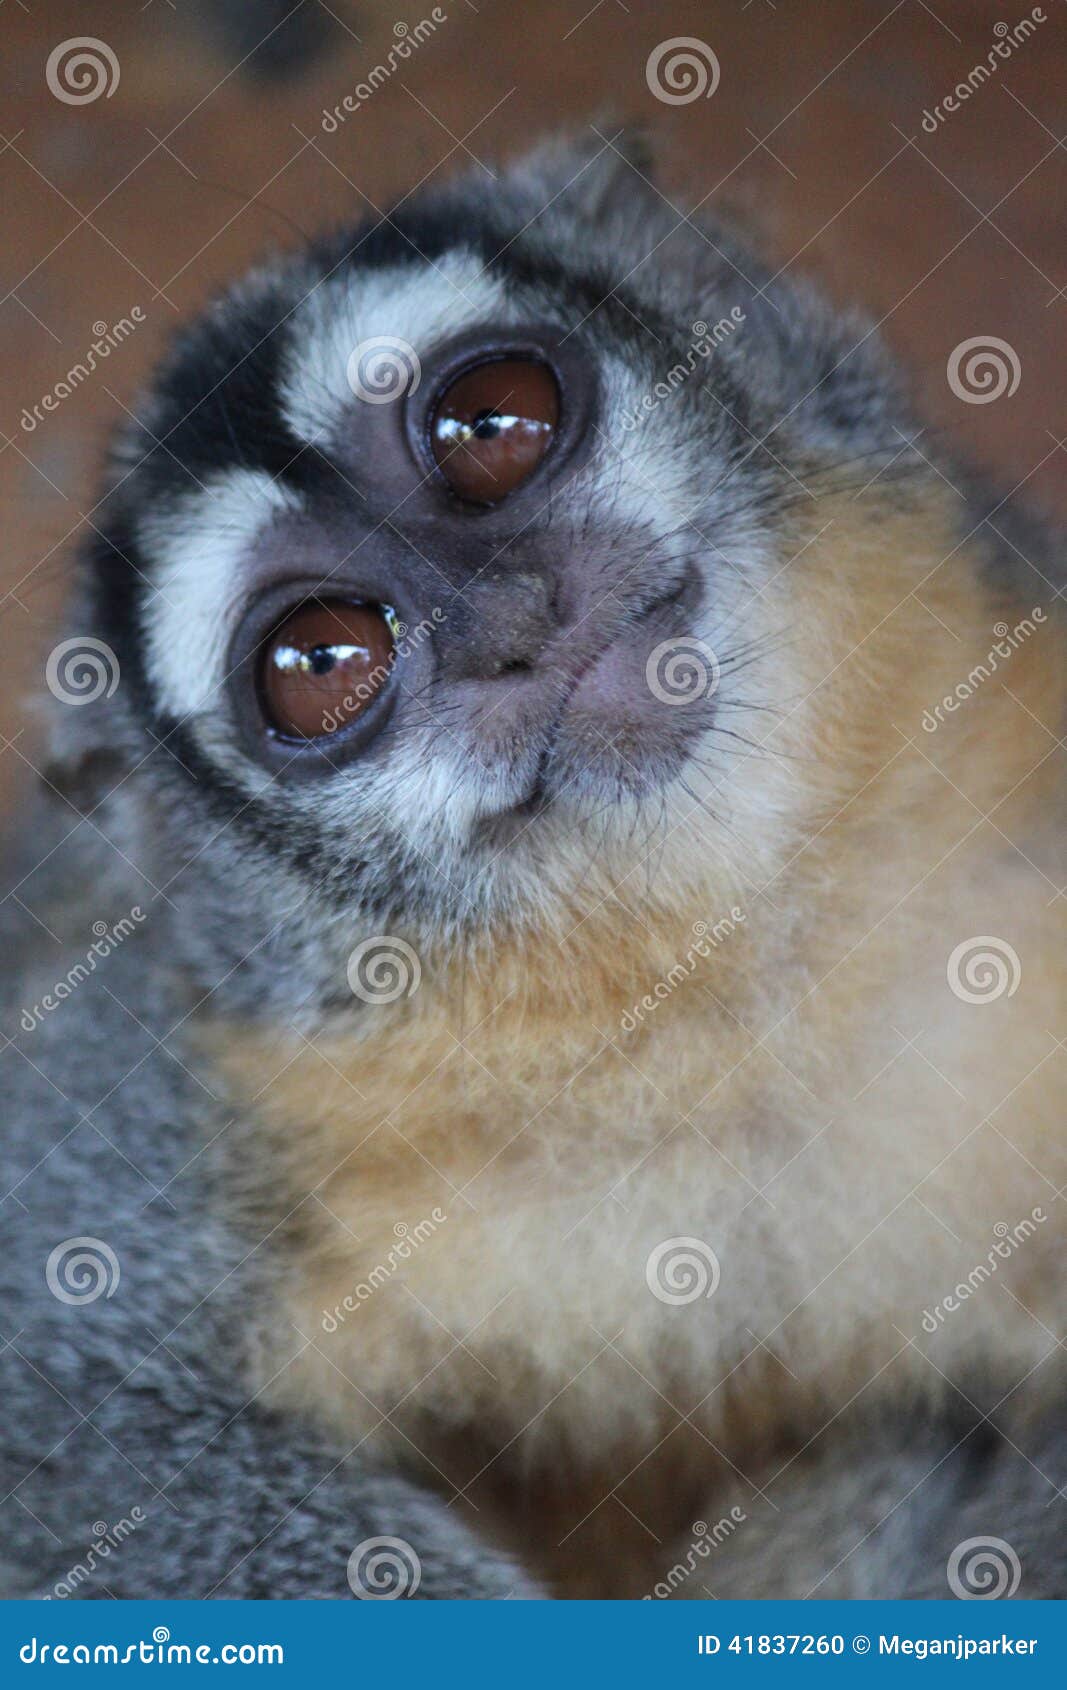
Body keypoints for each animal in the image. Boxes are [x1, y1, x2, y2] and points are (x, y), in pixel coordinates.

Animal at [2, 135, 1064, 1600]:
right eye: (321, 662)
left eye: (490, 425)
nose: (508, 618)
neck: (721, 965)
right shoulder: (159, 1062)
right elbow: (60, 1421)